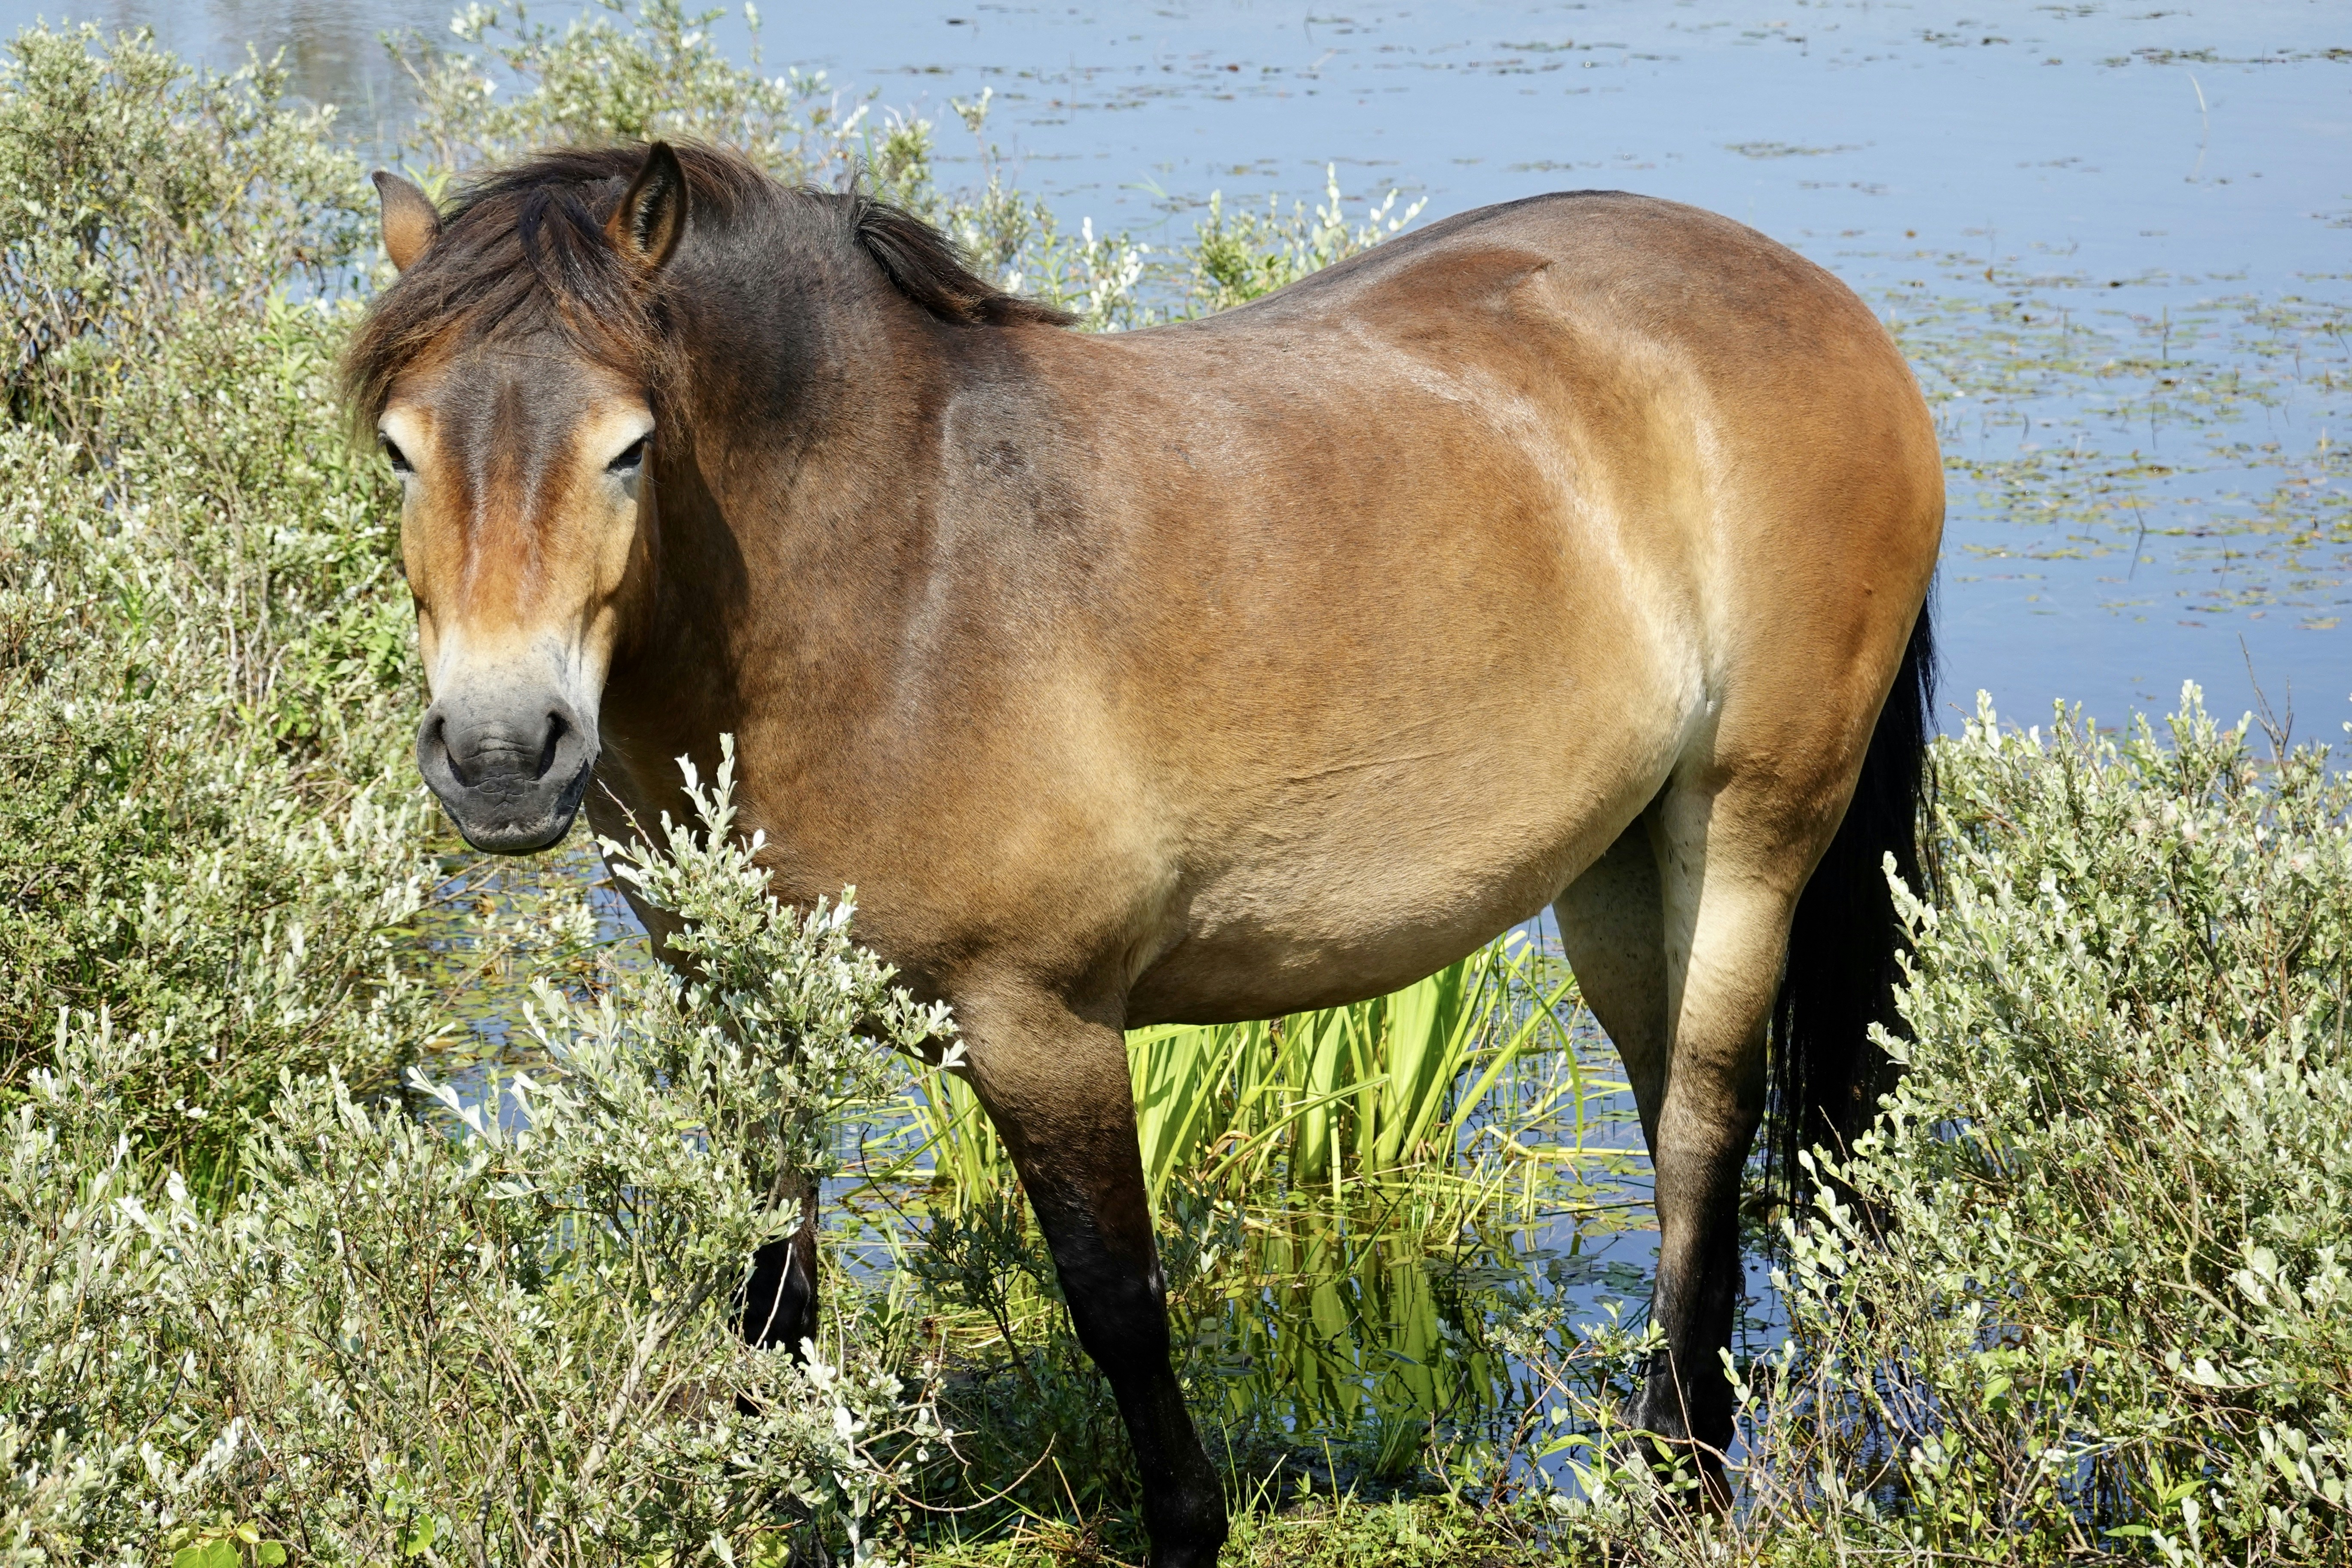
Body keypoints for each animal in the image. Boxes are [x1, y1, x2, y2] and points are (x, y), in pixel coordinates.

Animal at [348, 140, 1939, 1564]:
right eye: (401, 450)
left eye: (628, 448)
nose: (502, 755)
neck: (893, 579)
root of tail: (1819, 301)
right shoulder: (749, 1008)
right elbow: (774, 1294)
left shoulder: (1039, 1016)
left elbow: (1116, 1298)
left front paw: (1187, 1529)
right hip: (1615, 870)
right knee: (1673, 1138)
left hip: (1749, 836)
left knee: (1705, 1140)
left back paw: (1679, 1482)